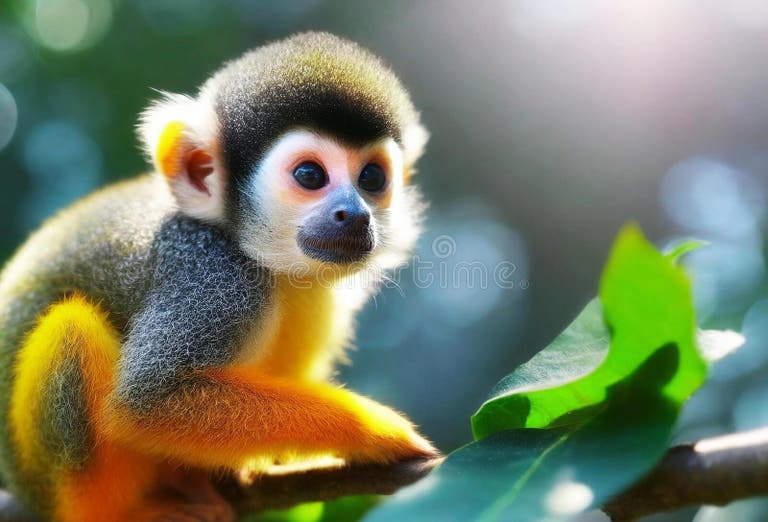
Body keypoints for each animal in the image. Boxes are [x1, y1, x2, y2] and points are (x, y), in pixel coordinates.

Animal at [0, 32, 435, 521]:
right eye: (310, 175)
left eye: (372, 178)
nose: (355, 214)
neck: (259, 256)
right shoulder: (214, 277)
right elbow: (150, 401)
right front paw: (372, 430)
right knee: (71, 328)